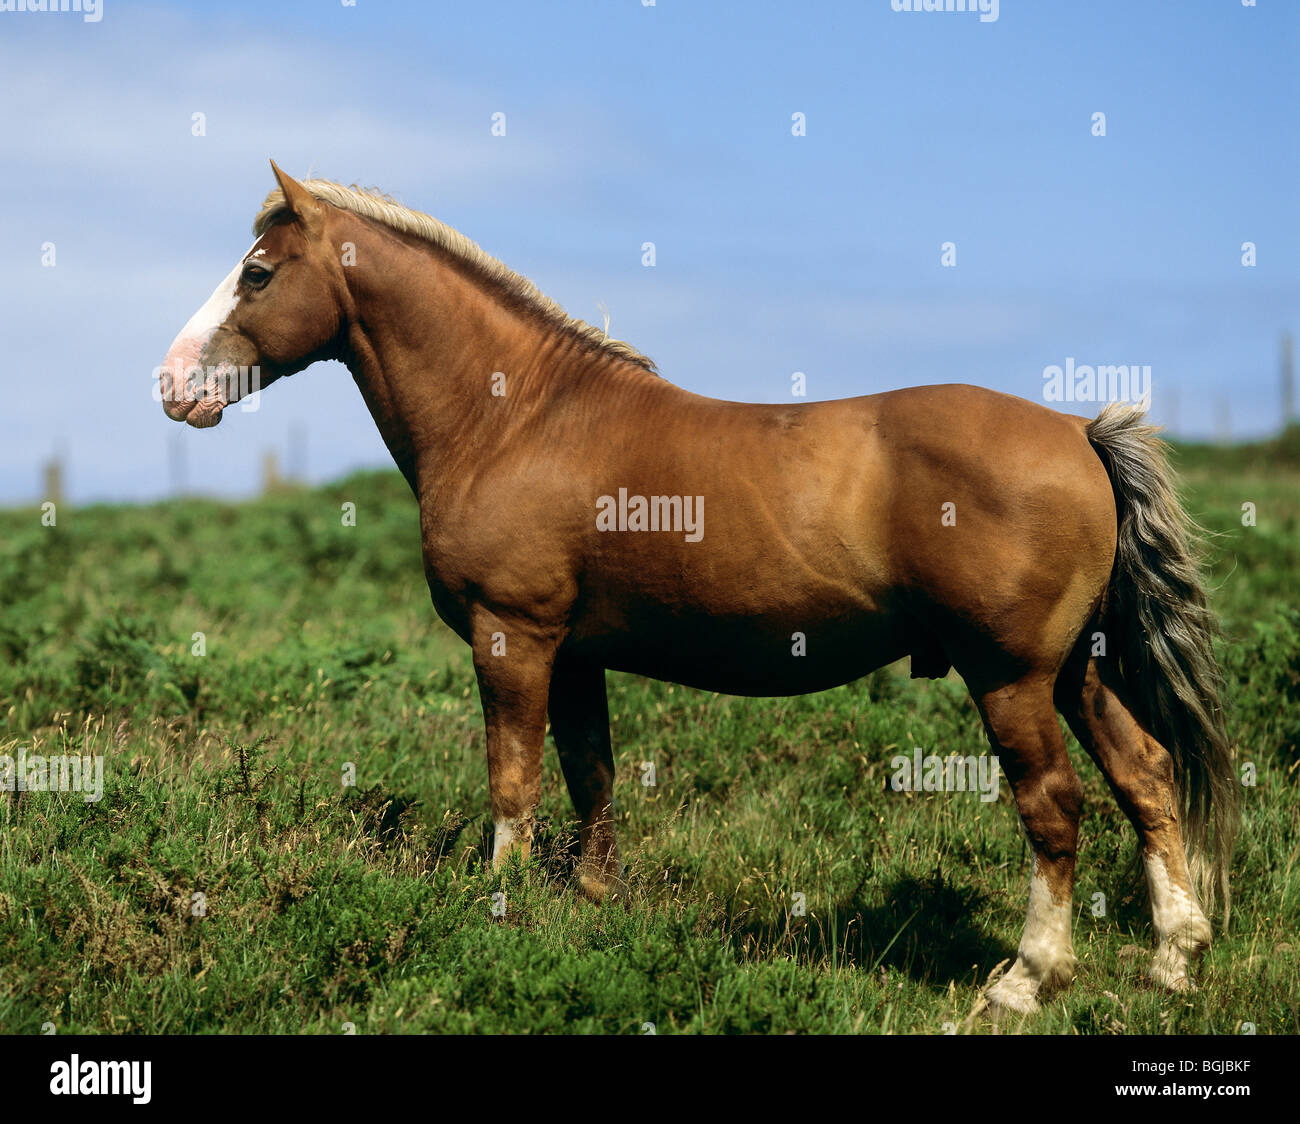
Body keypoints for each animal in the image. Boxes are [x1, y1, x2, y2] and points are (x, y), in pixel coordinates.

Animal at [156, 161, 1237, 1015]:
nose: (172, 384)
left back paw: (1026, 979)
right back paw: (1173, 960)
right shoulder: (573, 654)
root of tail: (1080, 432)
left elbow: (514, 785)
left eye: (258, 271)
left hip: (1010, 676)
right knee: (1145, 778)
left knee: (1054, 806)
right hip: (1076, 671)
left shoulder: (513, 637)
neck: (520, 417)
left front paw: (499, 911)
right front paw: (590, 906)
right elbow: (589, 777)